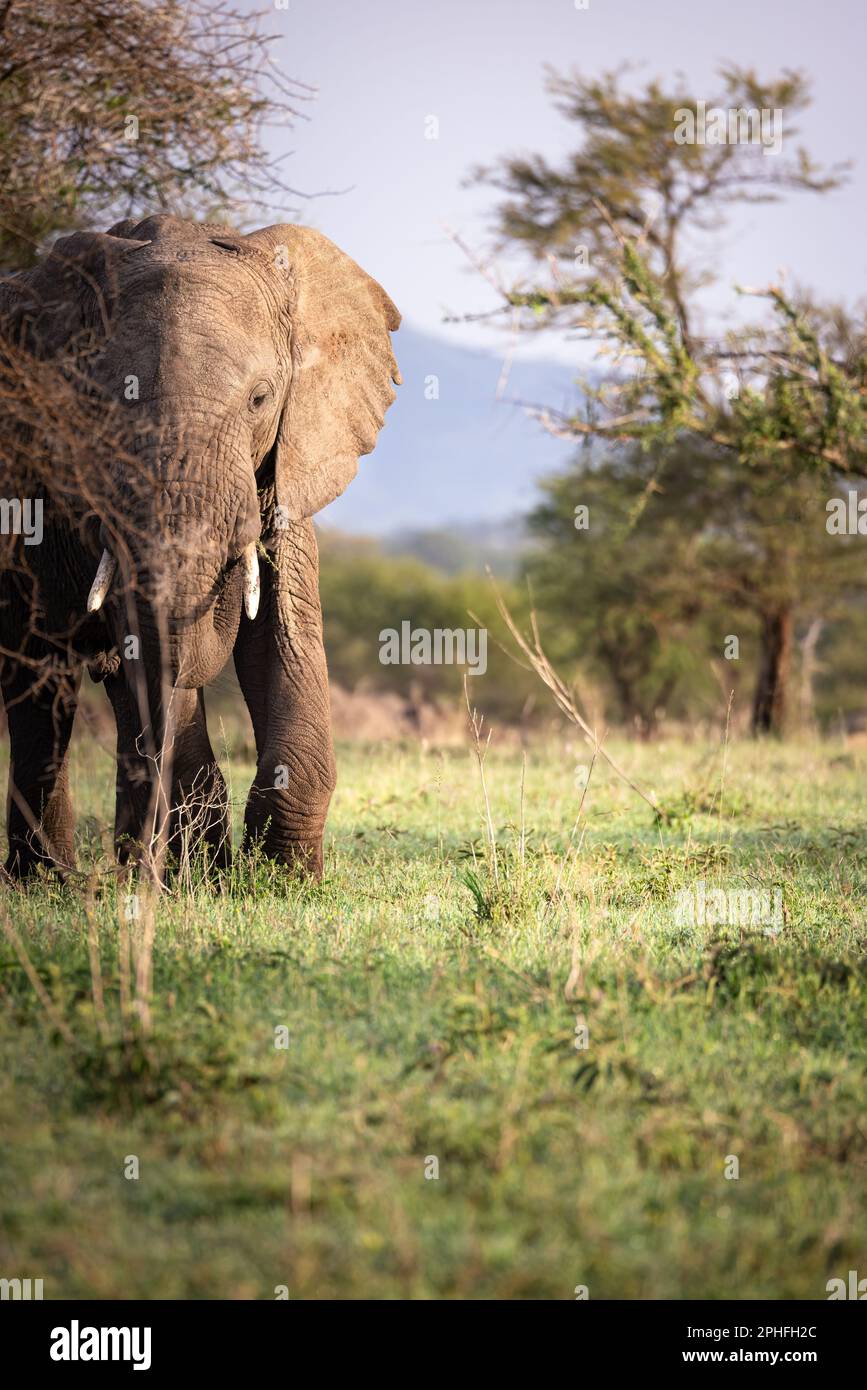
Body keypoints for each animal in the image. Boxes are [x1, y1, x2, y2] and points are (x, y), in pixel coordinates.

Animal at [0, 215, 400, 880]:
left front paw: (284, 878)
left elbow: (283, 632)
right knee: (40, 679)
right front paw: (203, 876)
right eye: (94, 401)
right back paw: (51, 880)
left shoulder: (287, 458)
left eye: (261, 398)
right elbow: (158, 653)